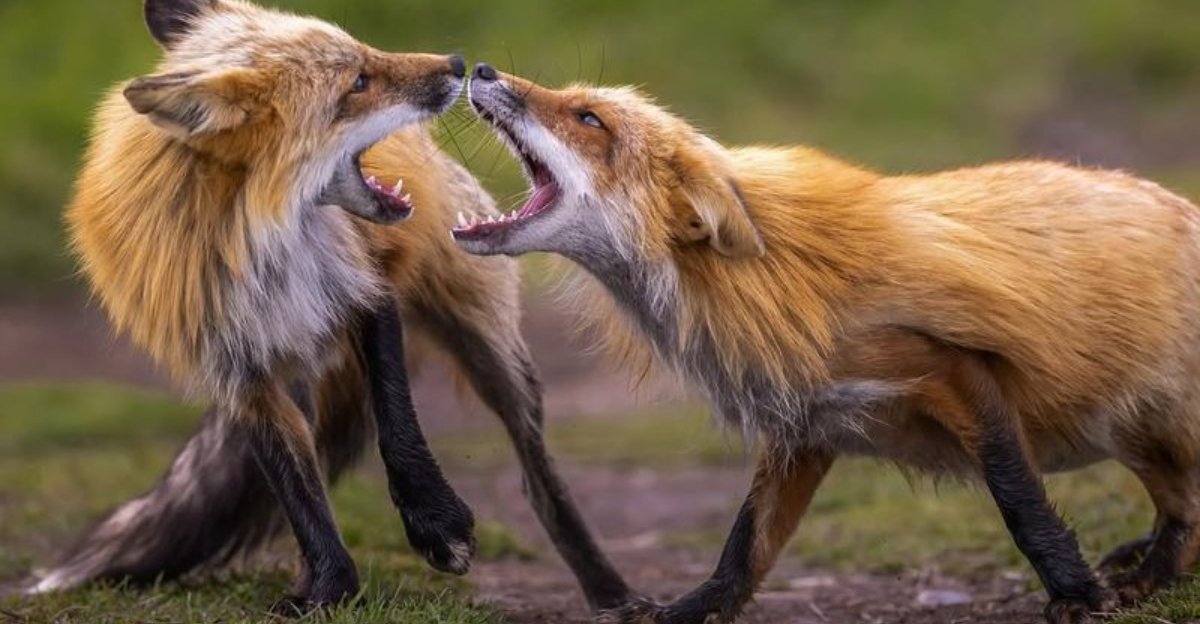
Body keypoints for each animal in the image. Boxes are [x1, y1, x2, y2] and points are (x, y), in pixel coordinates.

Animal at [28, 0, 633, 614]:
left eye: (367, 52)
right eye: (358, 83)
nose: (459, 65)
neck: (259, 245)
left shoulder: (366, 293)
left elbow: (397, 423)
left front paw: (436, 525)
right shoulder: (239, 372)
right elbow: (298, 492)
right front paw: (328, 588)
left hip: (489, 349)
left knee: (539, 480)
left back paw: (612, 591)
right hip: (299, 374)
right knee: (310, 465)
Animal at [458, 63, 1200, 624]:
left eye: (589, 119)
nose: (482, 69)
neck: (765, 278)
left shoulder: (955, 371)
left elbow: (1020, 501)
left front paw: (1077, 593)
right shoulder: (804, 423)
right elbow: (745, 546)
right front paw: (693, 610)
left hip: (1135, 419)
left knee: (1184, 506)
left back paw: (1152, 573)